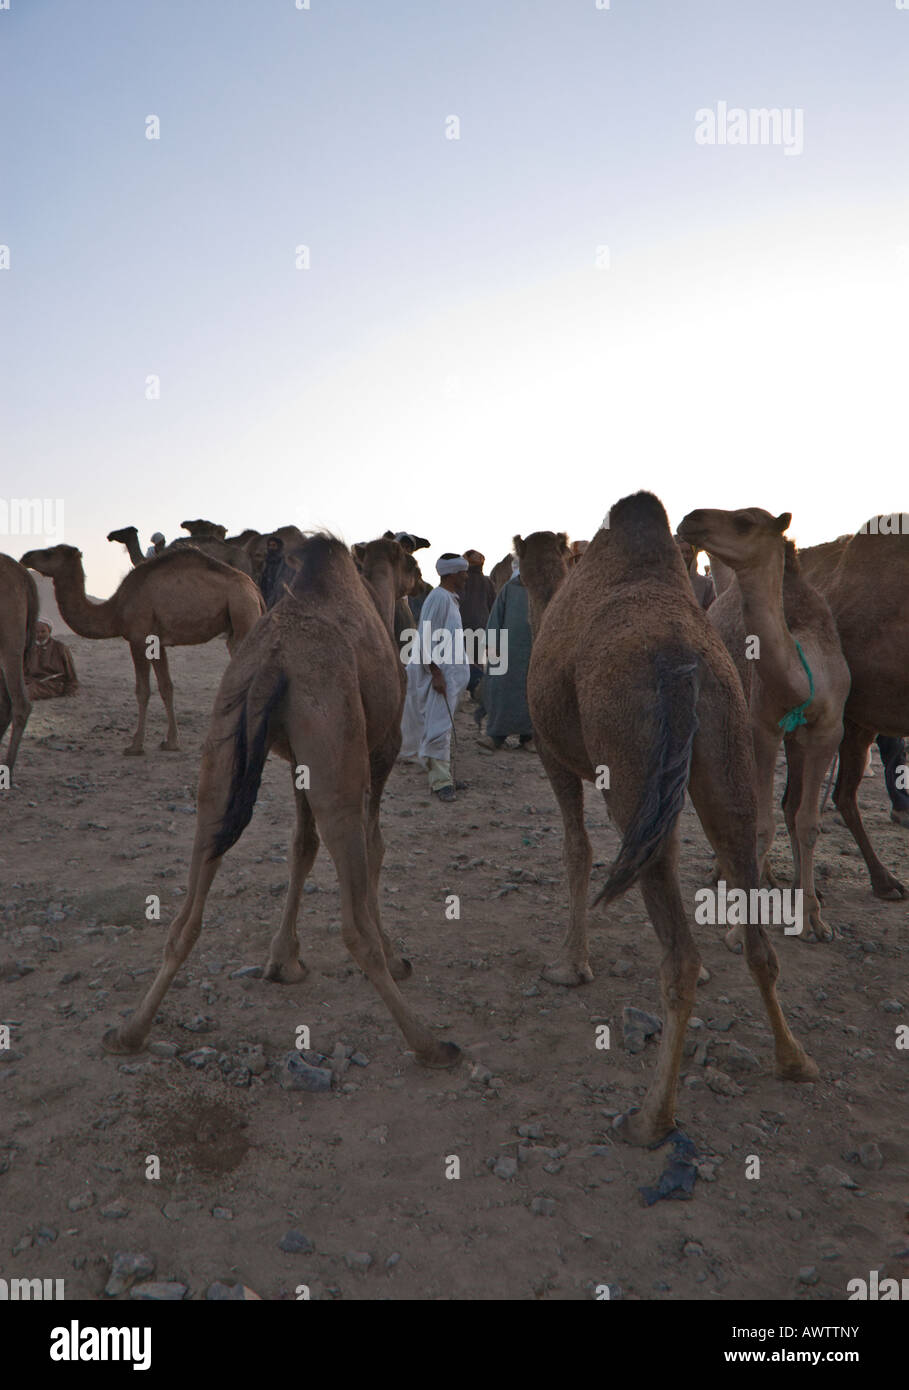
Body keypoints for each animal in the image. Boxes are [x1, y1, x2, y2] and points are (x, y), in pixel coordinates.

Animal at [20, 545, 264, 755]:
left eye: (50, 552)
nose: (26, 556)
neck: (115, 609)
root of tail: (254, 589)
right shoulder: (157, 642)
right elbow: (166, 687)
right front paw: (171, 742)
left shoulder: (138, 639)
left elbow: (143, 690)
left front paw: (135, 745)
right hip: (235, 628)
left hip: (243, 613)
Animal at [102, 535, 460, 1068]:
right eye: (411, 561)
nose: (422, 583)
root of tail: (275, 659)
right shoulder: (383, 749)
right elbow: (376, 845)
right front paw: (397, 955)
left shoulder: (296, 762)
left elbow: (300, 846)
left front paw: (282, 960)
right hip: (338, 751)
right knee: (353, 919)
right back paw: (429, 1041)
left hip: (225, 745)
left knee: (189, 906)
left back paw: (129, 1031)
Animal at [516, 494, 816, 1147]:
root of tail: (681, 662)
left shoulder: (552, 753)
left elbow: (576, 849)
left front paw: (568, 966)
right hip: (723, 744)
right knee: (752, 917)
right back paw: (794, 1059)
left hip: (630, 760)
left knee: (679, 954)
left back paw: (651, 1118)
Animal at [677, 509, 850, 943]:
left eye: (744, 522)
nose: (690, 519)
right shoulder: (762, 727)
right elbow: (760, 824)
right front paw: (741, 927)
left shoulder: (828, 731)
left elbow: (807, 822)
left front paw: (813, 920)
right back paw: (725, 871)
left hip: (797, 740)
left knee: (788, 808)